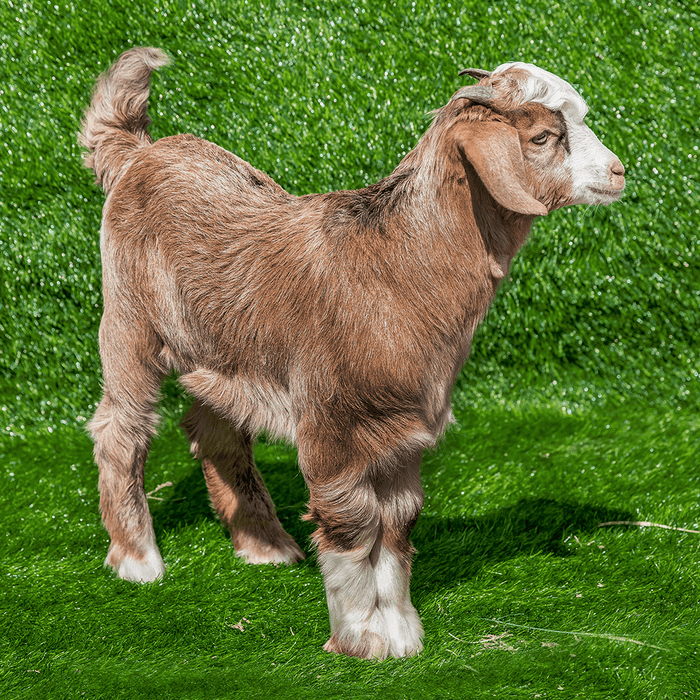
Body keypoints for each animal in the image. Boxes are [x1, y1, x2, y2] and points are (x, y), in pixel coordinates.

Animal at [79, 47, 625, 660]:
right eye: (542, 137)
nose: (618, 172)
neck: (400, 263)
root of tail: (140, 154)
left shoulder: (401, 435)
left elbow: (398, 523)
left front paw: (402, 633)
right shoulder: (333, 430)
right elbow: (354, 526)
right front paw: (361, 637)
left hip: (224, 353)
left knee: (217, 430)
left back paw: (265, 545)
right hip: (129, 322)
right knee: (121, 429)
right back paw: (138, 560)